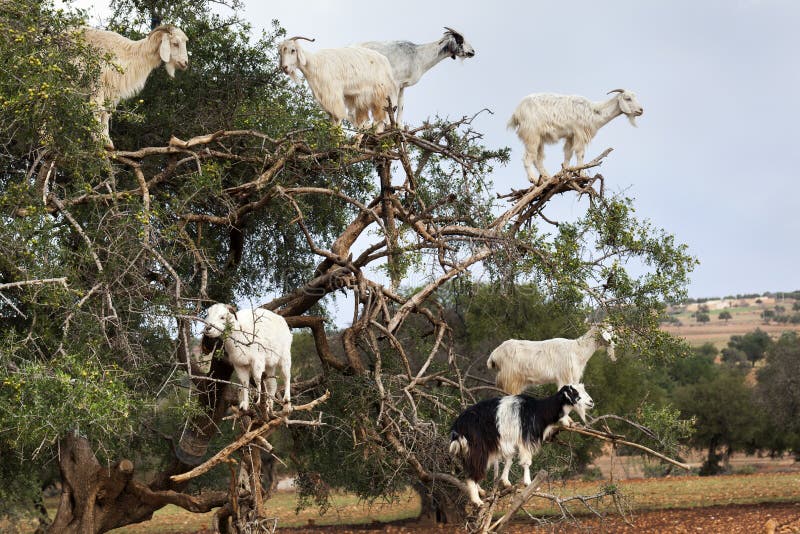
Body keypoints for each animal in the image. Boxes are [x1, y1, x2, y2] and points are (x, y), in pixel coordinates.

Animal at [449, 384, 594, 506]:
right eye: (575, 392)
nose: (591, 402)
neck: (538, 411)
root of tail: (457, 426)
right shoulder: (525, 439)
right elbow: (526, 462)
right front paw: (529, 483)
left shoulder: (512, 441)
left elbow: (509, 460)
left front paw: (505, 482)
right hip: (478, 447)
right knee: (472, 472)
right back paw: (477, 501)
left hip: (471, 449)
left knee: (470, 469)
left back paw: (481, 491)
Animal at [487, 324, 615, 396]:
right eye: (607, 331)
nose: (612, 342)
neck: (577, 350)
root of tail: (494, 354)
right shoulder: (565, 377)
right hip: (510, 378)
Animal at [508, 89, 644, 184]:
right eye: (628, 98)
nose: (641, 110)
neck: (594, 111)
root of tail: (517, 113)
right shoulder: (580, 133)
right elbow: (580, 153)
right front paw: (582, 174)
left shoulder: (570, 136)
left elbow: (568, 154)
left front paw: (566, 174)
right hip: (532, 135)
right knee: (528, 157)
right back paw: (533, 179)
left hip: (540, 138)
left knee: (538, 158)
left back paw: (547, 177)